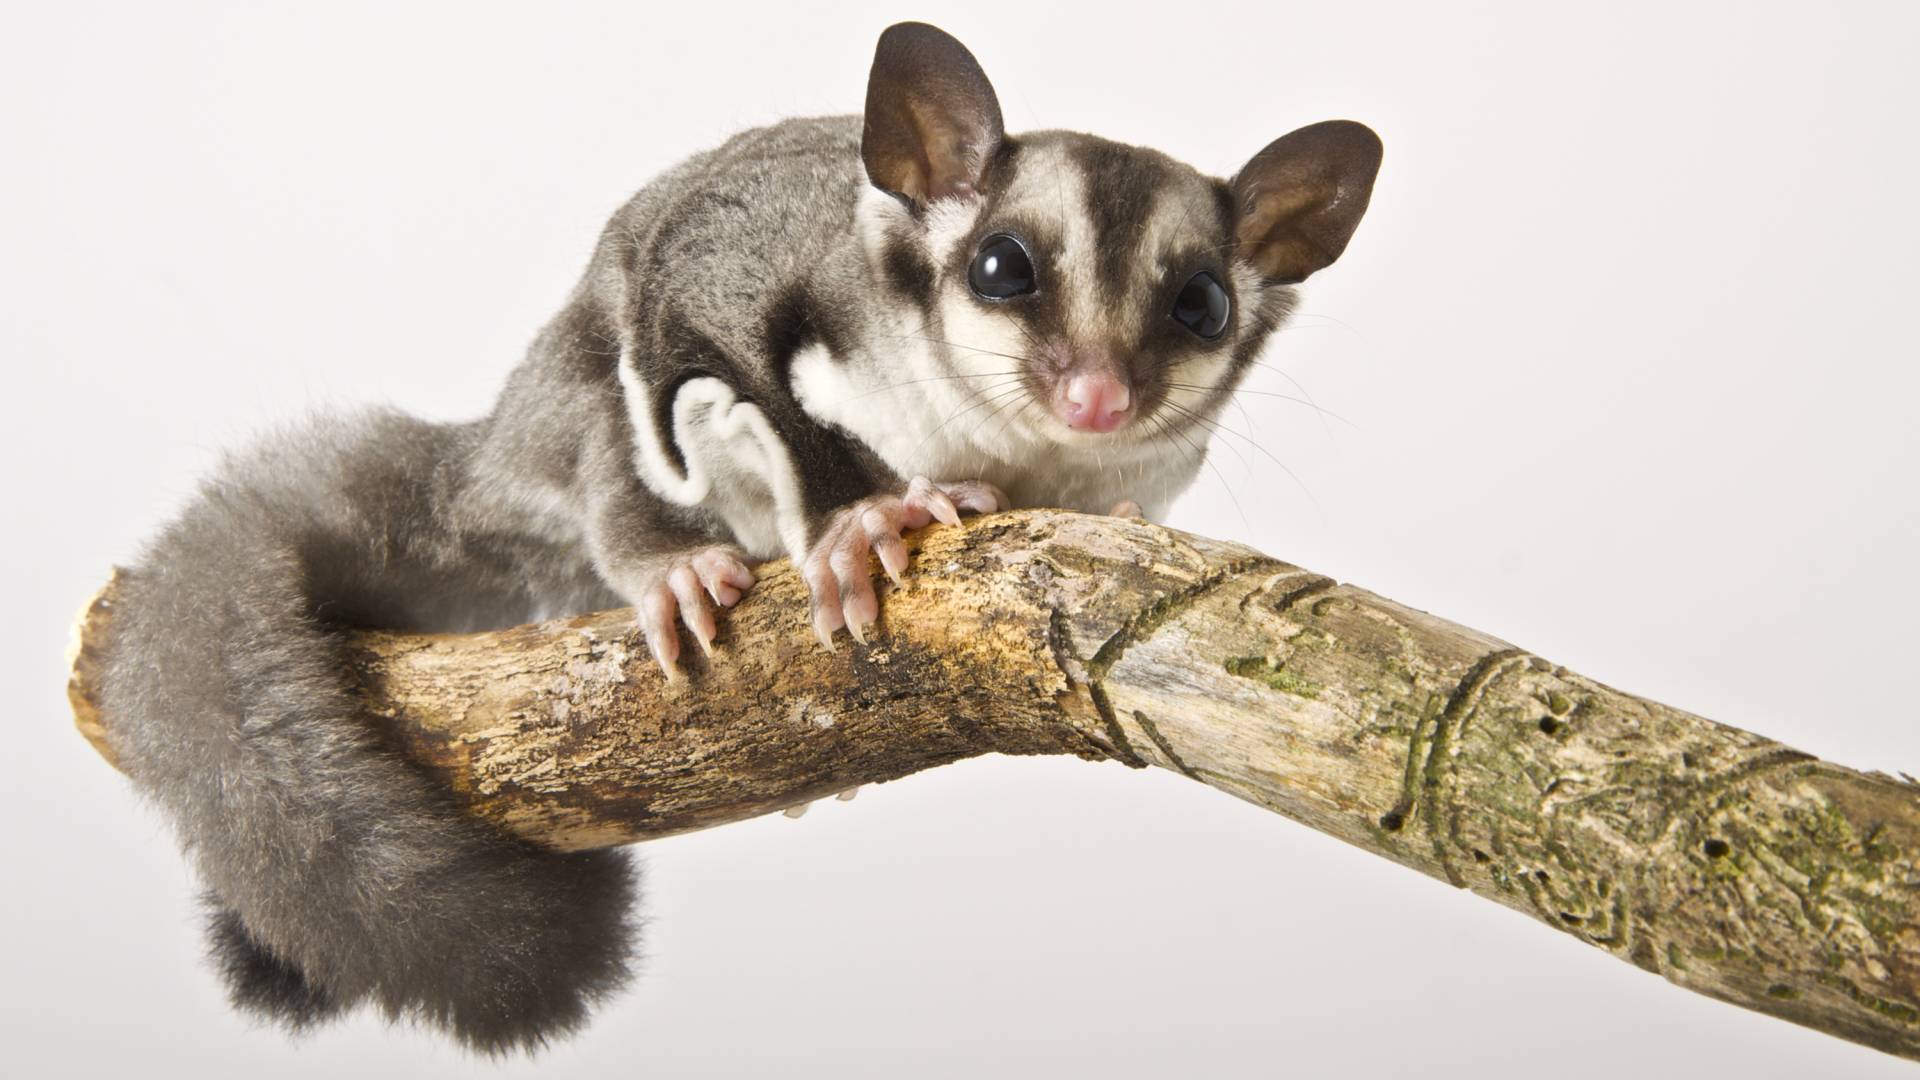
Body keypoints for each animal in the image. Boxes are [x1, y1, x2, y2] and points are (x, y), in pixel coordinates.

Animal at [96, 21, 1380, 1052]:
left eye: (1202, 305)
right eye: (1002, 268)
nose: (1100, 396)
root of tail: (492, 450)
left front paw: (1101, 516)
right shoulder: (752, 271)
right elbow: (712, 320)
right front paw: (859, 525)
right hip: (570, 414)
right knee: (624, 419)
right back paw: (672, 565)